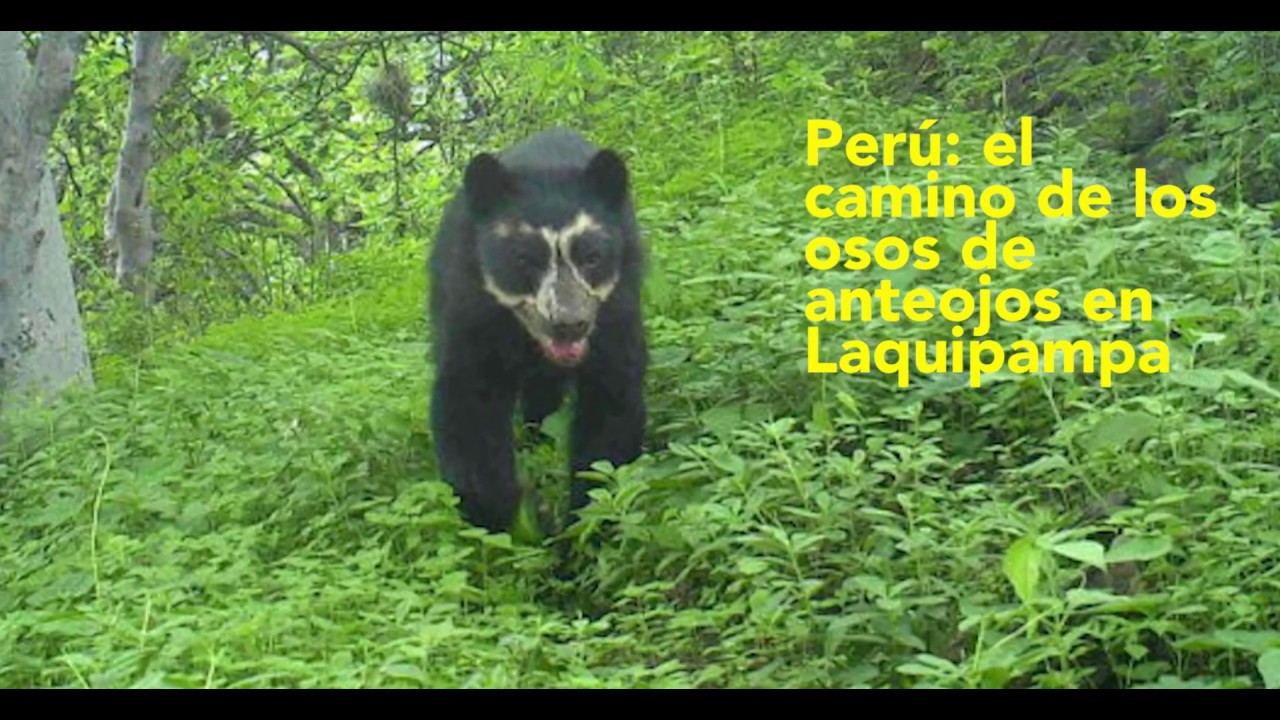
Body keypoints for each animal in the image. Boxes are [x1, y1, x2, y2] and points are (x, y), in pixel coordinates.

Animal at [427, 127, 648, 533]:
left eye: (592, 257)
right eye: (523, 259)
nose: (569, 324)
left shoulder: (617, 309)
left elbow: (611, 402)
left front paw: (583, 527)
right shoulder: (468, 306)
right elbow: (468, 404)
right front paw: (502, 523)